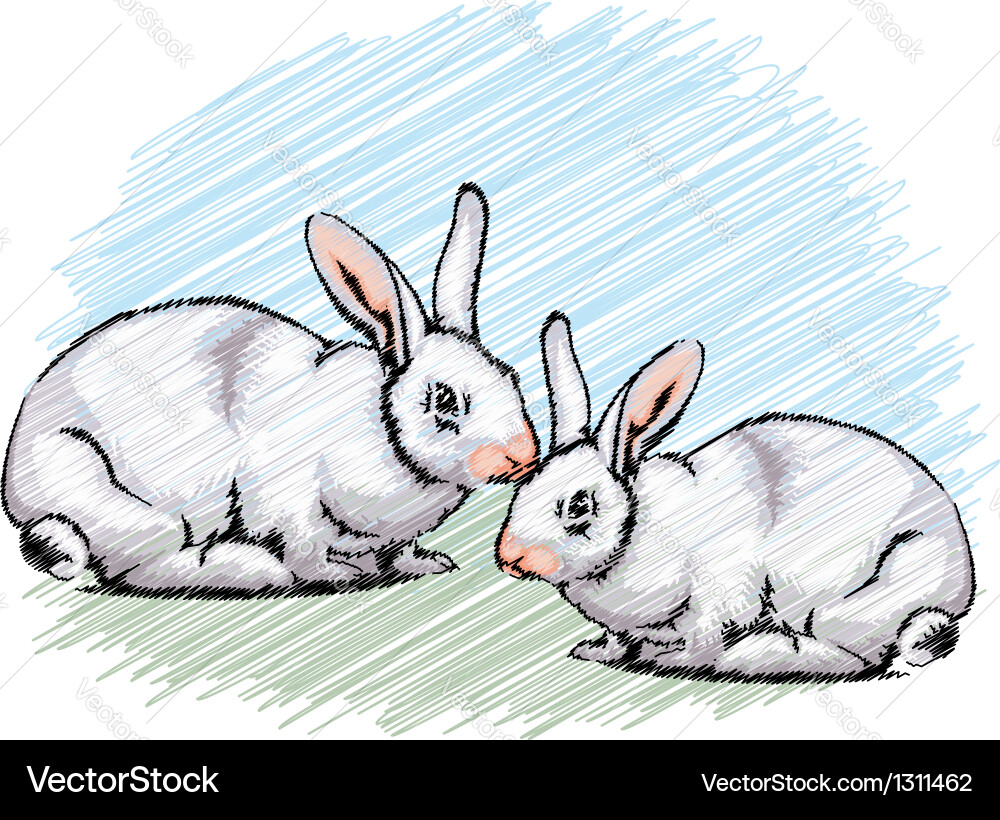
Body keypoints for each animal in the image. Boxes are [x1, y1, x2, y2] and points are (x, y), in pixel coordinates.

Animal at [3, 183, 539, 595]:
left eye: (512, 378)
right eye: (445, 399)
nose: (523, 457)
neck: (387, 435)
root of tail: (20, 500)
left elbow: (401, 551)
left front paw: (426, 563)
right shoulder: (285, 498)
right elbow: (304, 550)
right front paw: (338, 574)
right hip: (111, 494)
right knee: (140, 569)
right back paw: (246, 569)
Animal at [495, 312, 975, 681]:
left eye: (578, 506)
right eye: (522, 491)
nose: (510, 559)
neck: (632, 533)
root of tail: (956, 596)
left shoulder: (721, 588)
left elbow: (702, 639)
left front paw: (672, 659)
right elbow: (616, 639)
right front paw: (595, 651)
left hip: (868, 591)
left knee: (857, 657)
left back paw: (763, 657)